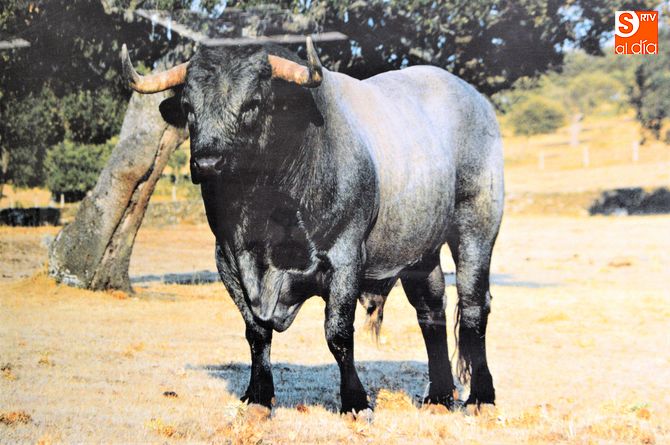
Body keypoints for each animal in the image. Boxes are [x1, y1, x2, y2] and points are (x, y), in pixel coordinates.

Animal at [121, 37, 504, 414]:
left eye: (253, 103)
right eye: (188, 106)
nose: (207, 162)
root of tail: (472, 97)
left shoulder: (346, 257)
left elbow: (338, 332)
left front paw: (355, 402)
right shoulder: (227, 259)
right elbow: (256, 331)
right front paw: (258, 397)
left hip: (476, 225)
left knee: (474, 305)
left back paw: (481, 397)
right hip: (419, 248)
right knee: (430, 308)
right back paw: (439, 397)